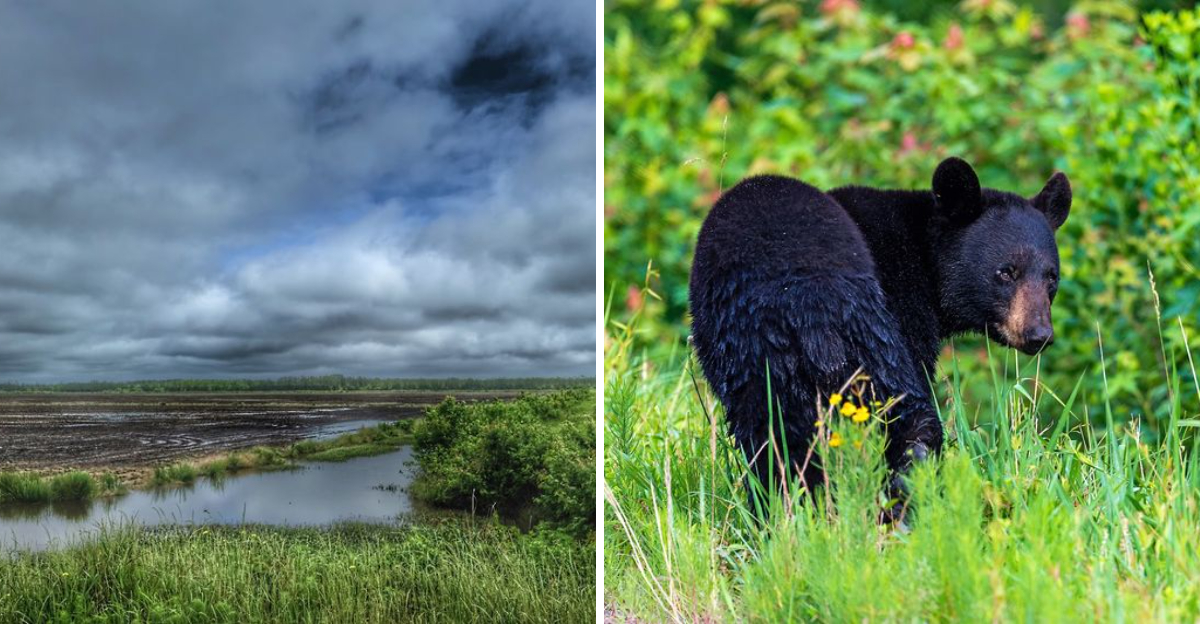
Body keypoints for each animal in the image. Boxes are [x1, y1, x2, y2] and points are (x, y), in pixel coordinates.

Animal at [689, 157, 1071, 511]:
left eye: (1051, 277)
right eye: (1006, 272)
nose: (1039, 334)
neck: (925, 257)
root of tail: (807, 295)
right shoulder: (906, 305)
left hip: (761, 366)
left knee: (774, 443)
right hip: (870, 335)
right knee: (907, 418)